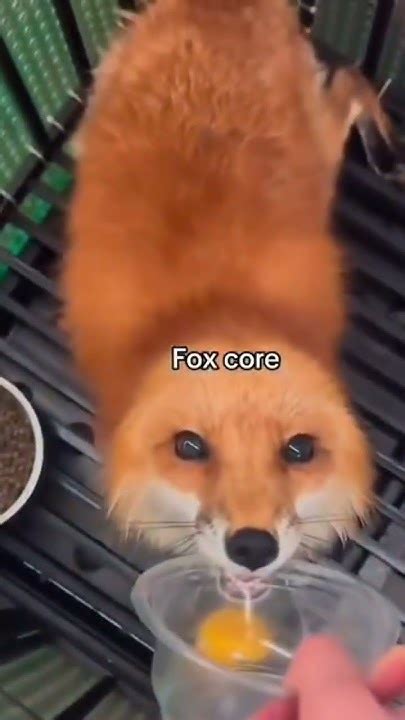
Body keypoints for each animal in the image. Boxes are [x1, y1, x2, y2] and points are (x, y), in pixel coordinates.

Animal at [62, 0, 390, 576]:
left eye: (299, 450)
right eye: (190, 447)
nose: (253, 547)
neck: (218, 309)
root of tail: (220, 8)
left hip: (323, 142)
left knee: (352, 81)